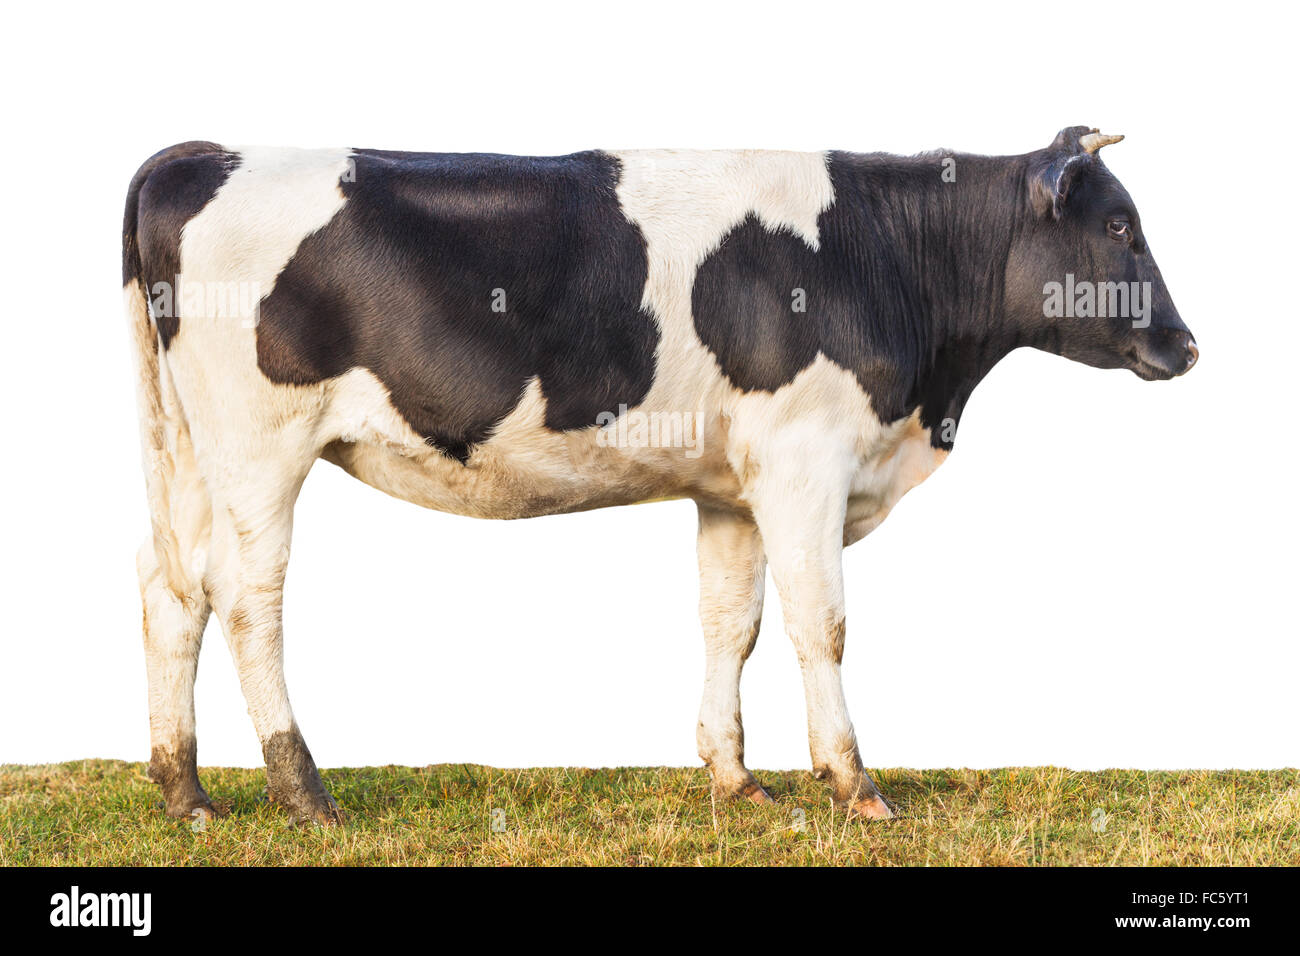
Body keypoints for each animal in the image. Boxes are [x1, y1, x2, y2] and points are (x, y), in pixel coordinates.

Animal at [123, 127, 1196, 825]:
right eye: (1119, 229)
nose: (1187, 346)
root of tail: (198, 154)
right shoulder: (805, 461)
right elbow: (822, 624)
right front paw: (855, 786)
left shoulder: (734, 488)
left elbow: (733, 624)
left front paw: (736, 779)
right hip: (262, 443)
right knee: (248, 600)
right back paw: (304, 794)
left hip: (186, 448)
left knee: (171, 590)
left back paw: (187, 793)